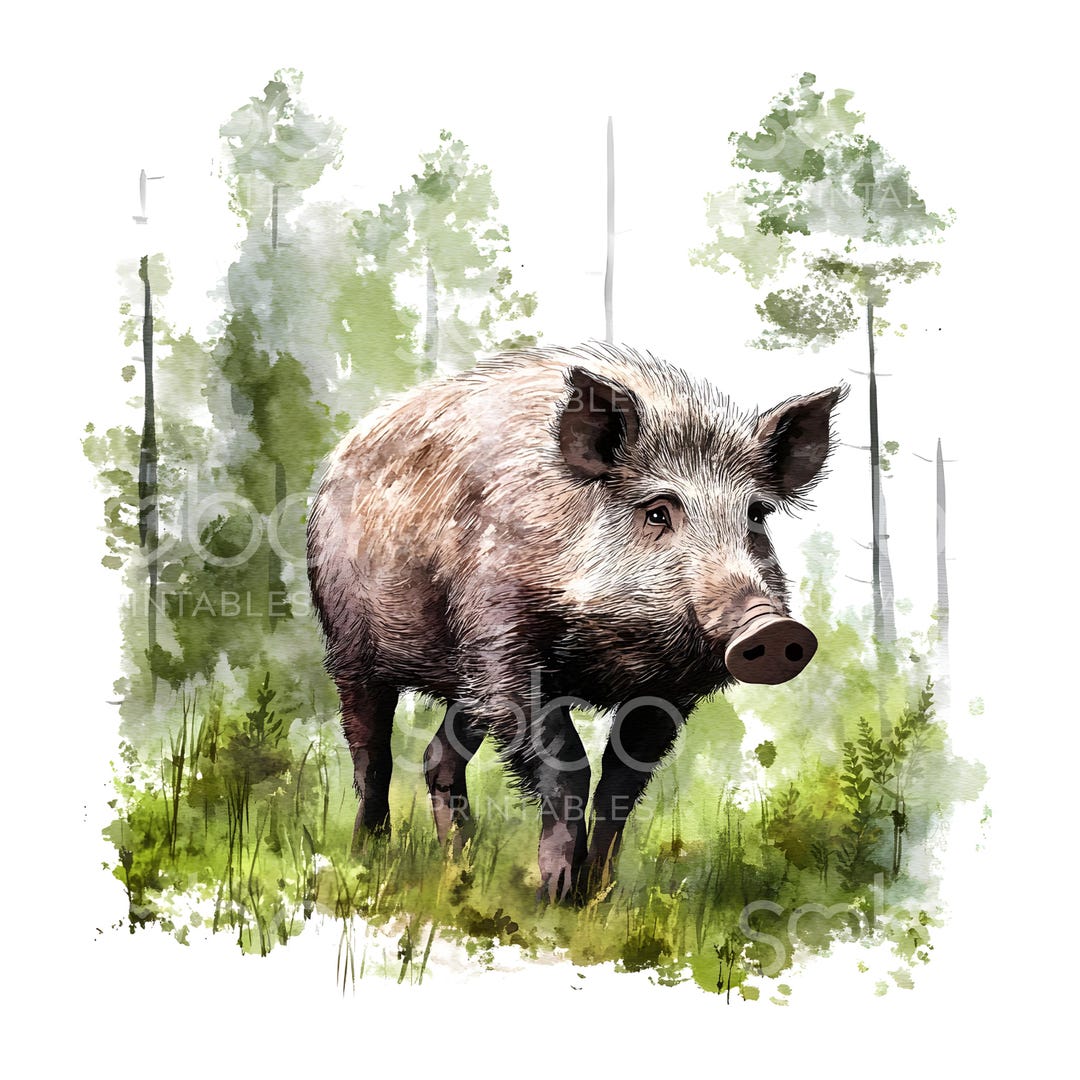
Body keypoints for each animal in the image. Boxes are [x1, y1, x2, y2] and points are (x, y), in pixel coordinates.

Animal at [307, 343, 844, 901]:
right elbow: (569, 764)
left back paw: (461, 869)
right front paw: (554, 898)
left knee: (438, 759)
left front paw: (599, 898)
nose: (773, 629)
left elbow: (621, 783)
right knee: (372, 755)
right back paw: (369, 858)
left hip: (464, 681)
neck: (616, 650)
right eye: (658, 512)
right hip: (350, 645)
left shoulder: (665, 692)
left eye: (756, 515)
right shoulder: (507, 652)